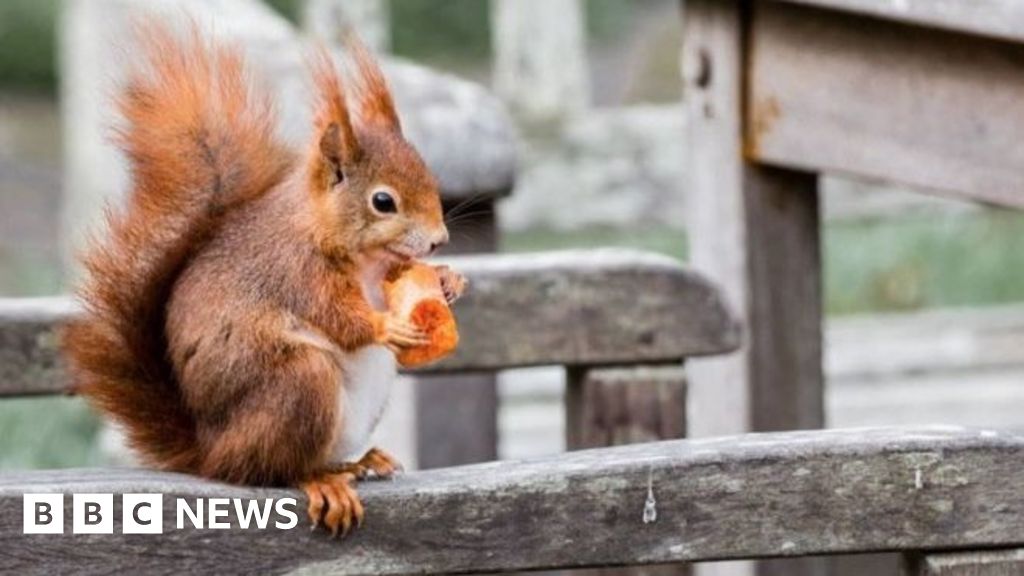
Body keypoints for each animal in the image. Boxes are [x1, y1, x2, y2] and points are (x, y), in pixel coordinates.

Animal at [61, 23, 466, 537]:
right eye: (383, 201)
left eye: (428, 176)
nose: (439, 240)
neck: (360, 257)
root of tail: (212, 452)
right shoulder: (299, 273)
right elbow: (338, 317)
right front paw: (384, 325)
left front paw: (450, 280)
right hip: (298, 385)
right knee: (270, 471)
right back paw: (321, 480)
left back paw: (357, 462)